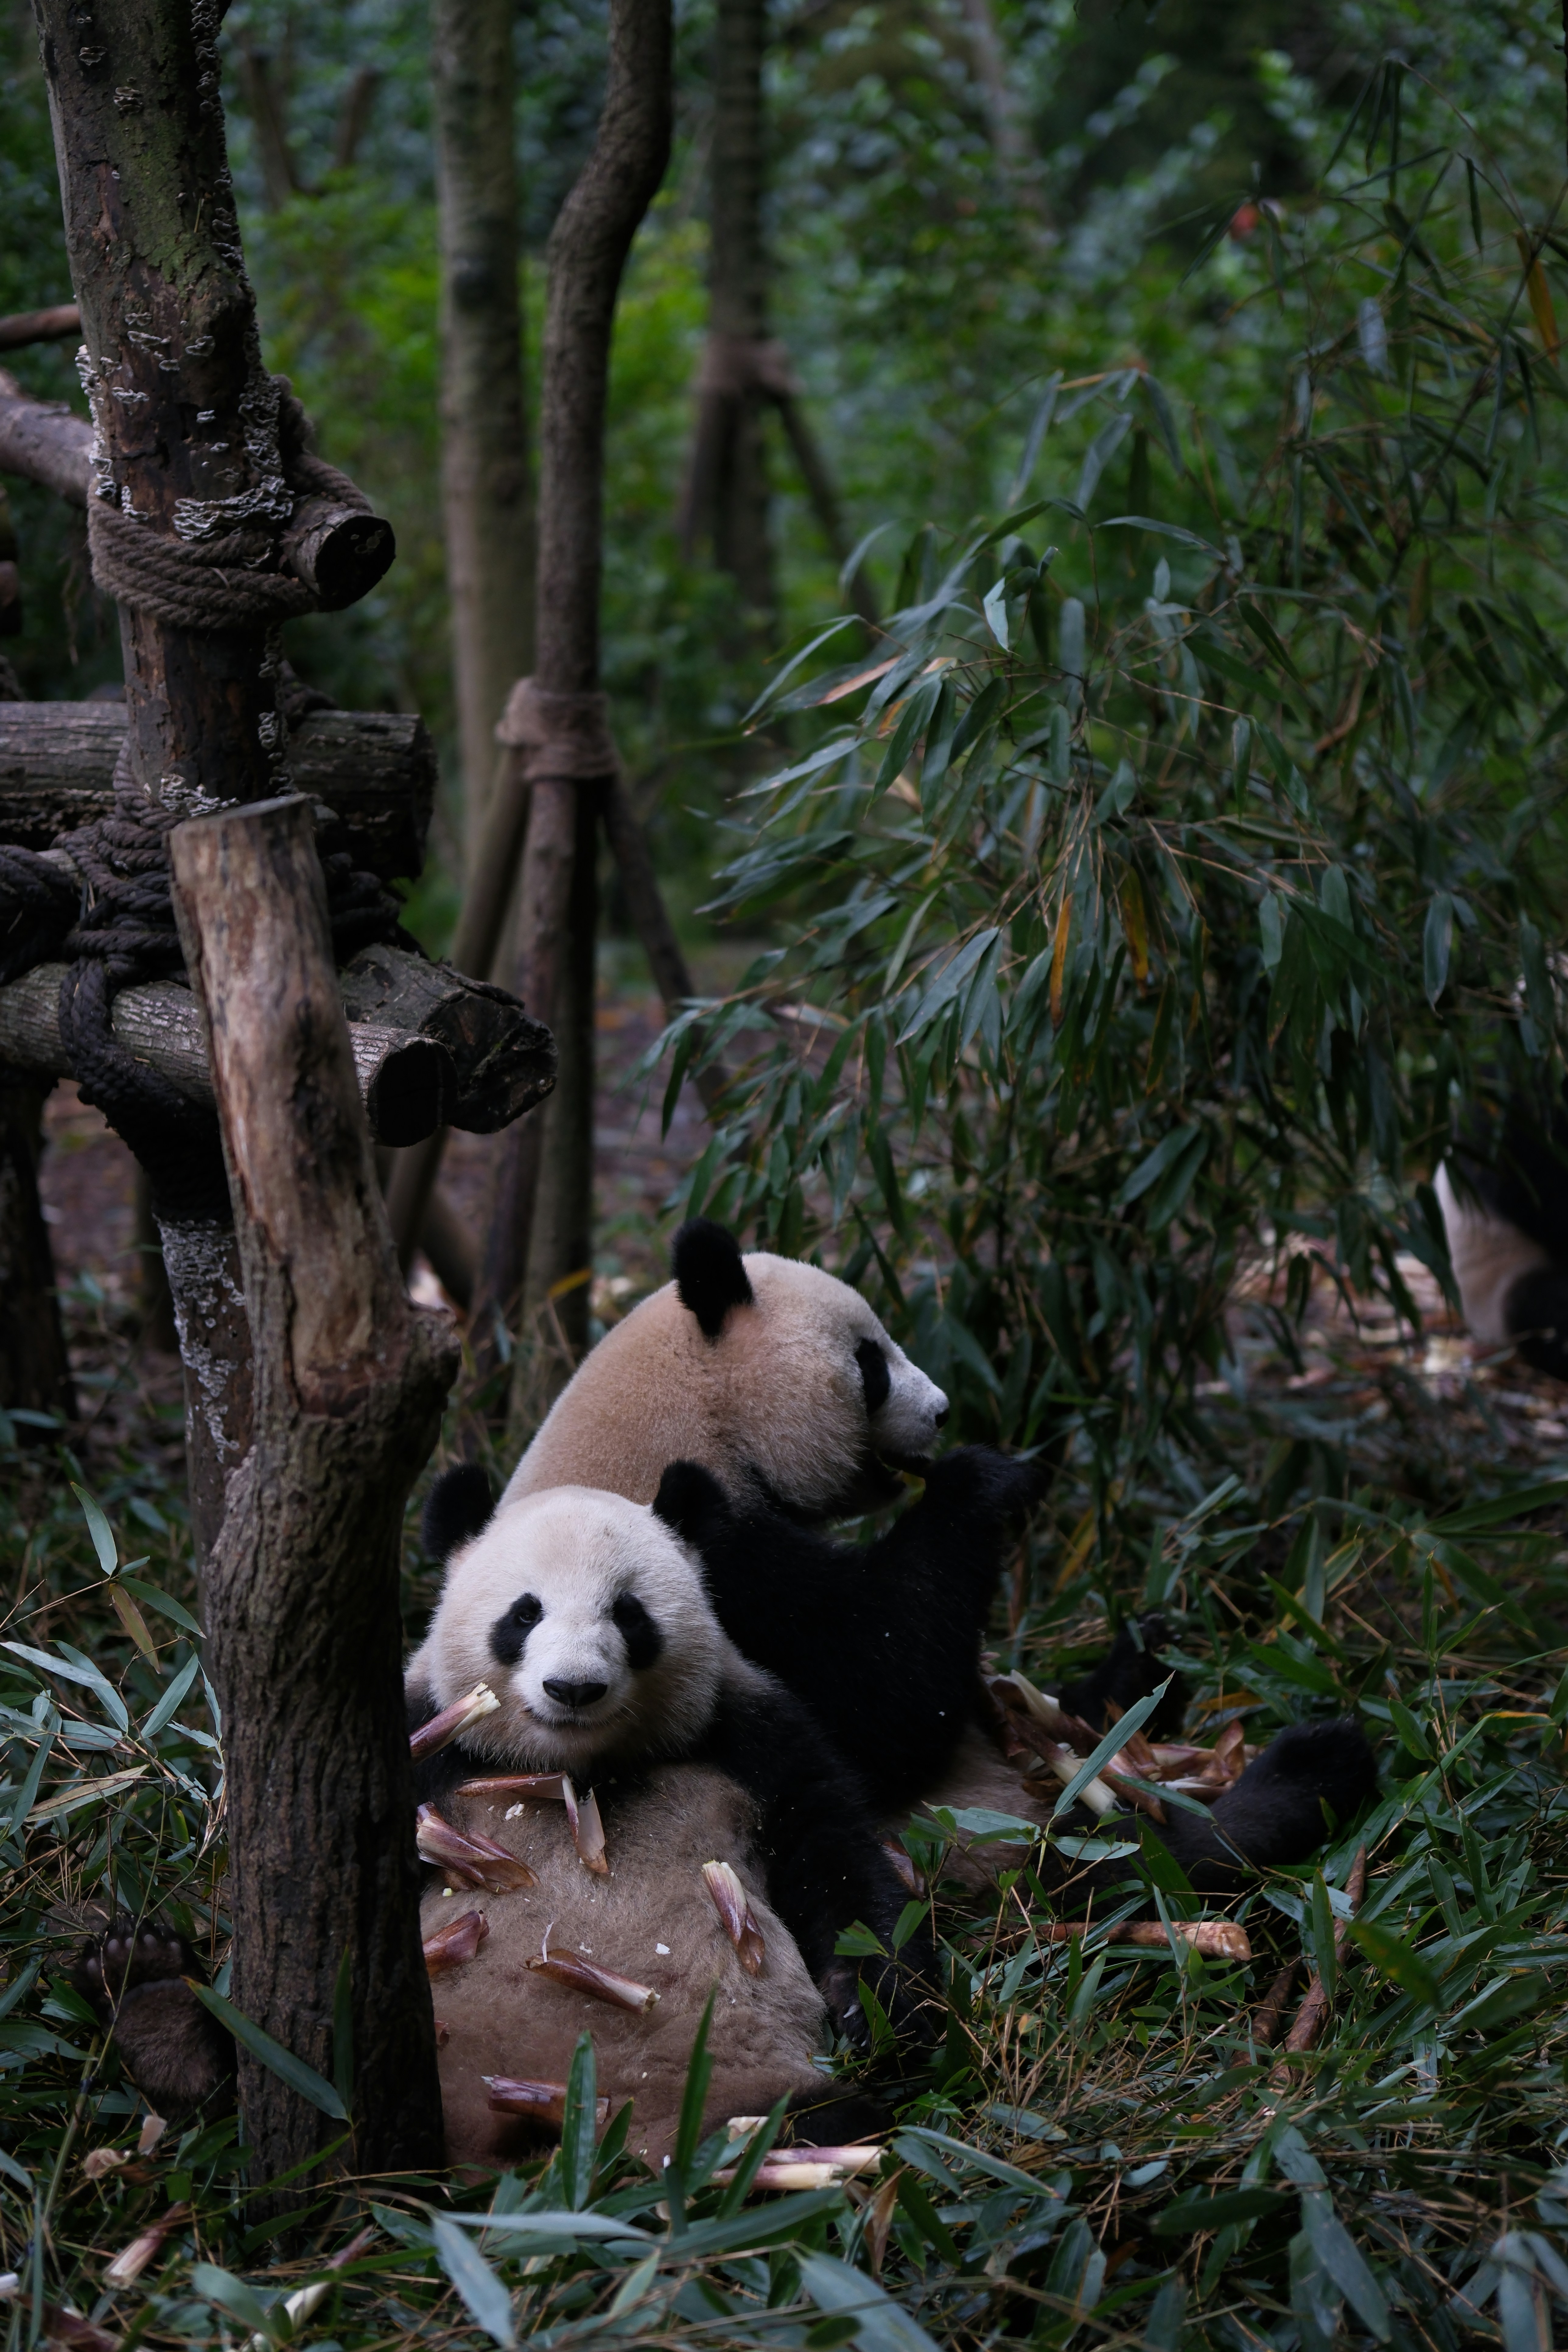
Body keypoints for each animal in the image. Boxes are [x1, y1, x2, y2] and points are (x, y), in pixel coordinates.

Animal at [405, 1477, 935, 2165]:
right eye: (524, 1614)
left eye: (629, 1613)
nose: (573, 1688)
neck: (578, 1777)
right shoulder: (427, 1743)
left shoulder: (749, 1737)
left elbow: (835, 1861)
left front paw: (875, 2014)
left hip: (720, 2071)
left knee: (805, 2125)